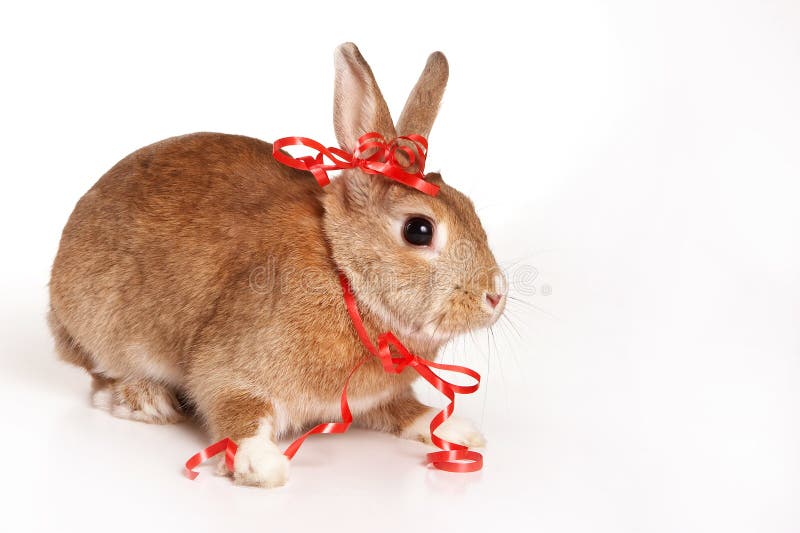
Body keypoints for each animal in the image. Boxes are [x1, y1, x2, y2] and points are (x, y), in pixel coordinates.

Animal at [48, 42, 507, 488]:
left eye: (470, 209)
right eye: (418, 230)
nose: (495, 295)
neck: (345, 277)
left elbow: (405, 409)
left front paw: (456, 430)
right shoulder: (230, 369)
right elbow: (236, 409)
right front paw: (260, 464)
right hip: (104, 328)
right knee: (100, 375)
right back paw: (146, 401)